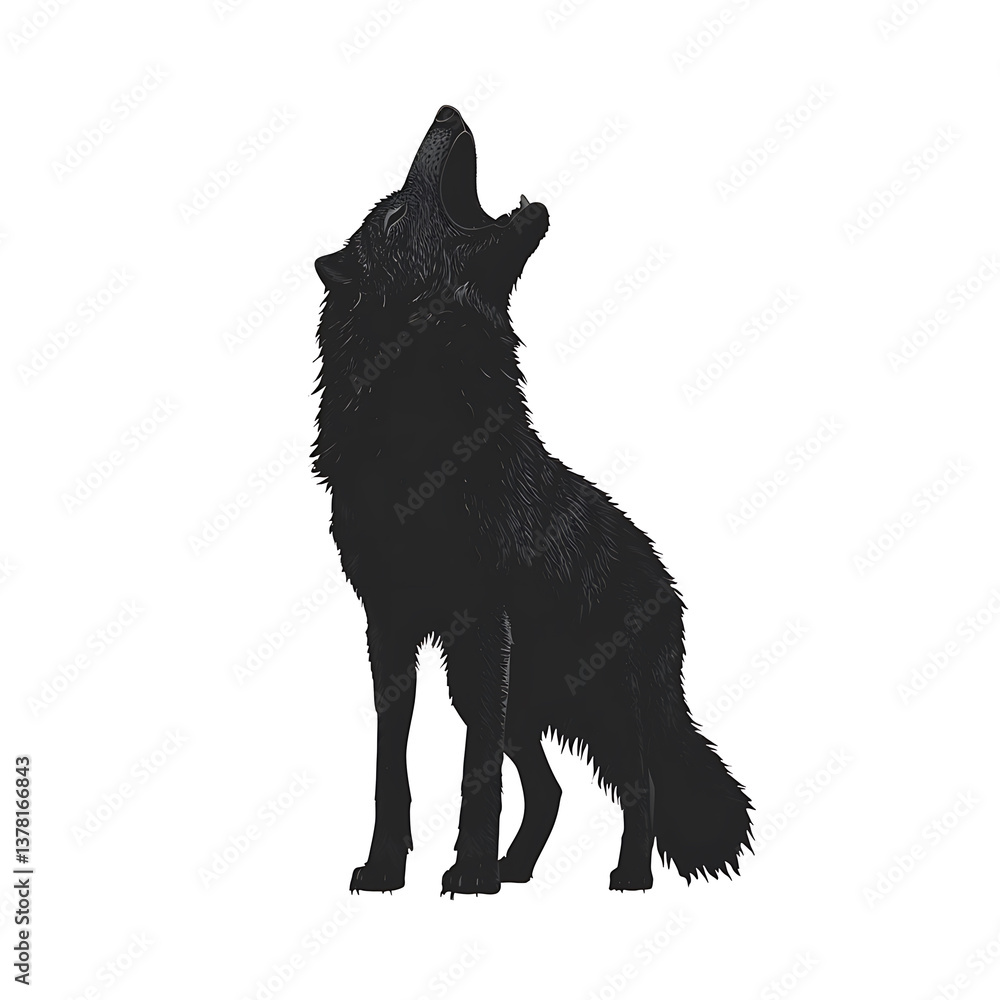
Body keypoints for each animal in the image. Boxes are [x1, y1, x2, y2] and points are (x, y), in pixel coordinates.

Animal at [312, 105, 752, 895]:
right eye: (394, 214)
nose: (446, 110)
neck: (422, 427)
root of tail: (664, 578)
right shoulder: (388, 628)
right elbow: (392, 767)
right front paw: (389, 868)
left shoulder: (482, 619)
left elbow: (475, 773)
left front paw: (469, 877)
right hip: (510, 695)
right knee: (551, 788)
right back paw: (517, 869)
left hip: (605, 703)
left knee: (641, 782)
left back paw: (626, 878)